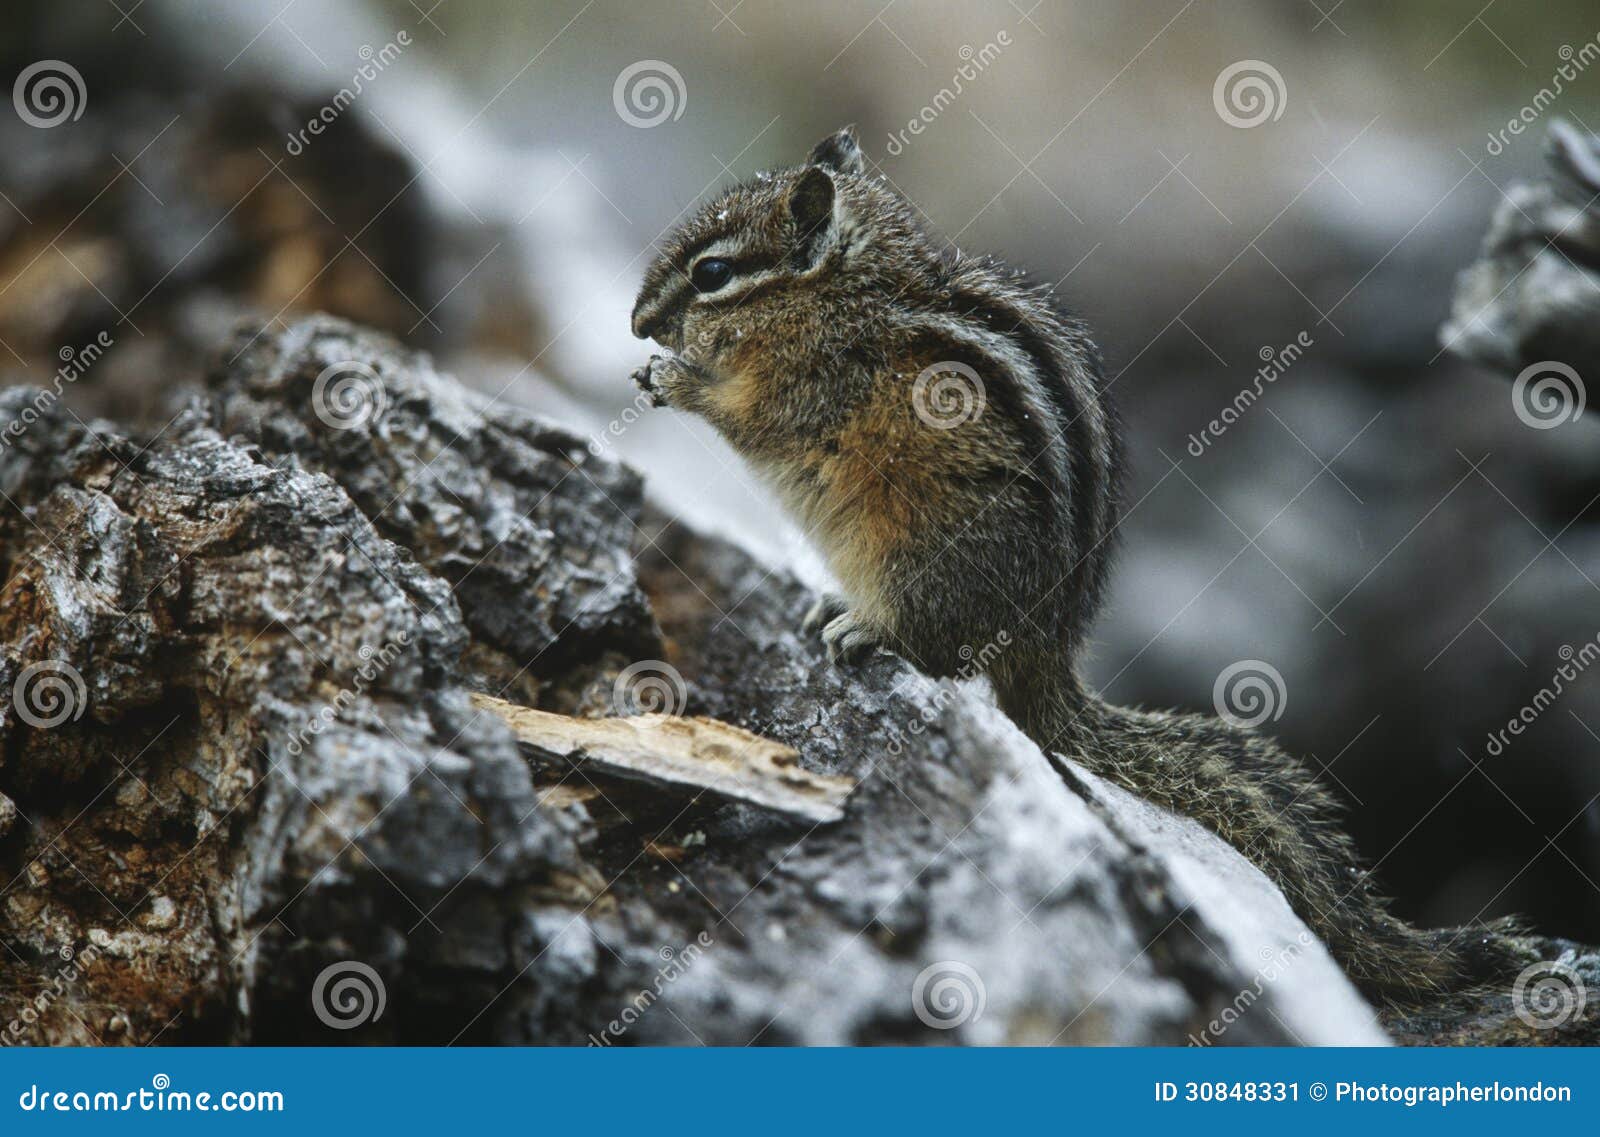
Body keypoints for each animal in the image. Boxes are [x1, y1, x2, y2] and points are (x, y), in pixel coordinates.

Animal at [629, 126, 1524, 1002]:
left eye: (712, 273)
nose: (637, 323)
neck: (846, 291)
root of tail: (1046, 650)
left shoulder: (809, 381)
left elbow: (752, 416)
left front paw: (674, 380)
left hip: (918, 555)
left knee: (936, 648)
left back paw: (866, 628)